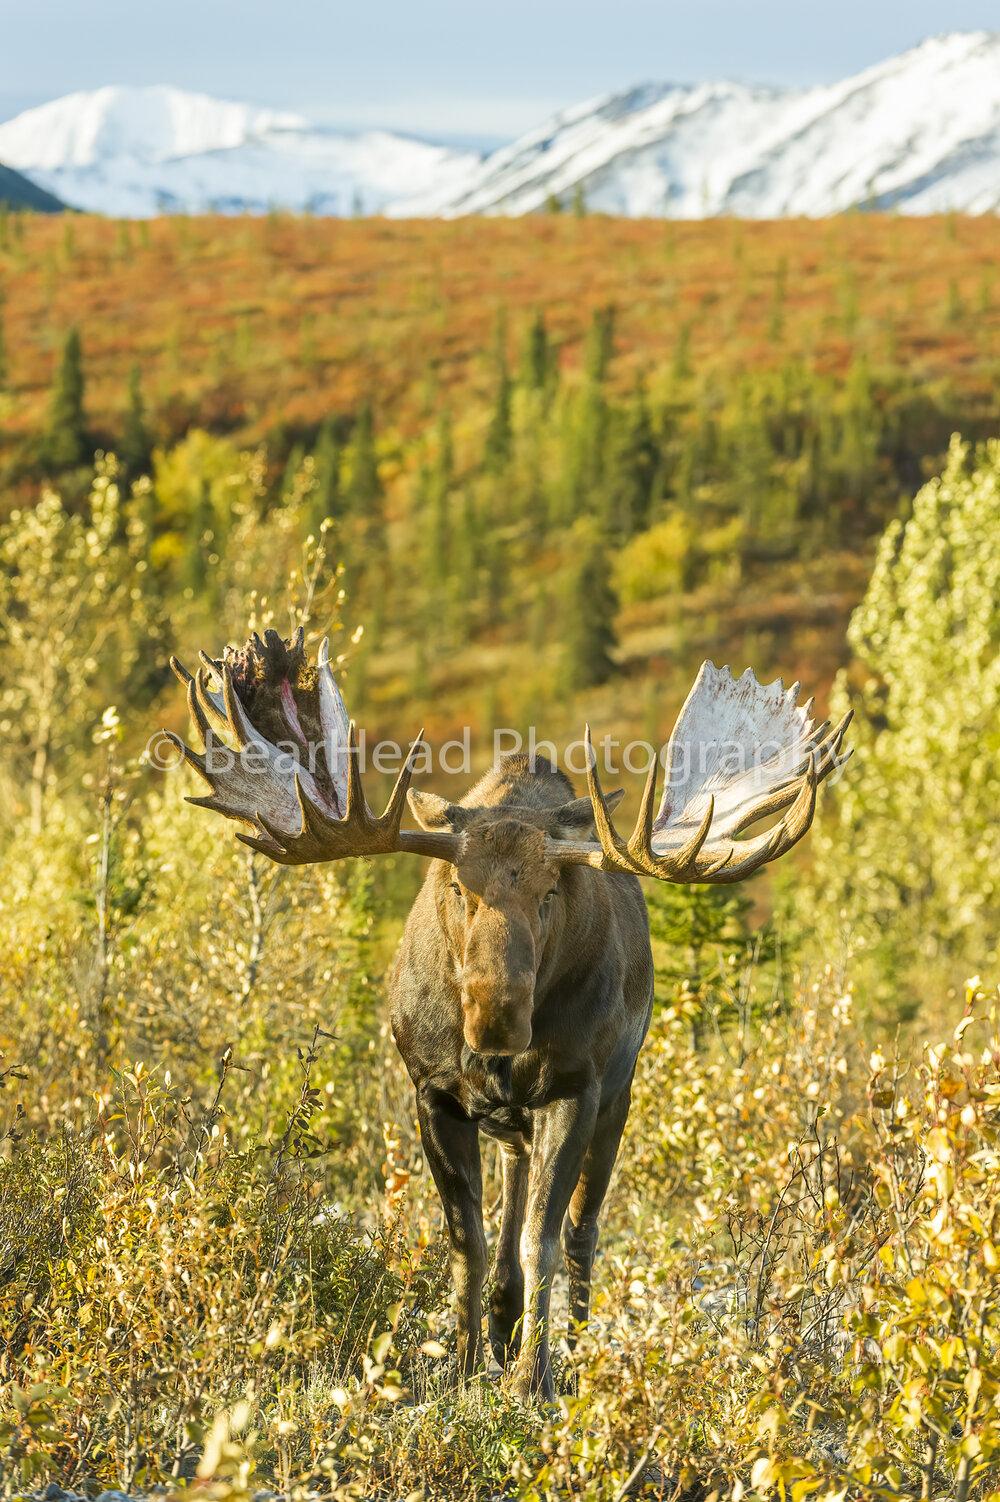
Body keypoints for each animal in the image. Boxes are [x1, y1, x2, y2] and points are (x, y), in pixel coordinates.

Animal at [167, 628, 850, 1399]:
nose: (496, 1015)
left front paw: (533, 1377)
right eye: (457, 888)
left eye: (552, 890)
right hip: (510, 1120)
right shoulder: (432, 1091)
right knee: (514, 1199)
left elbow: (542, 1239)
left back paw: (570, 1351)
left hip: (616, 1098)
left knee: (583, 1231)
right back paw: (502, 1323)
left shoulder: (575, 1088)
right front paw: (464, 1362)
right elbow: (470, 1237)